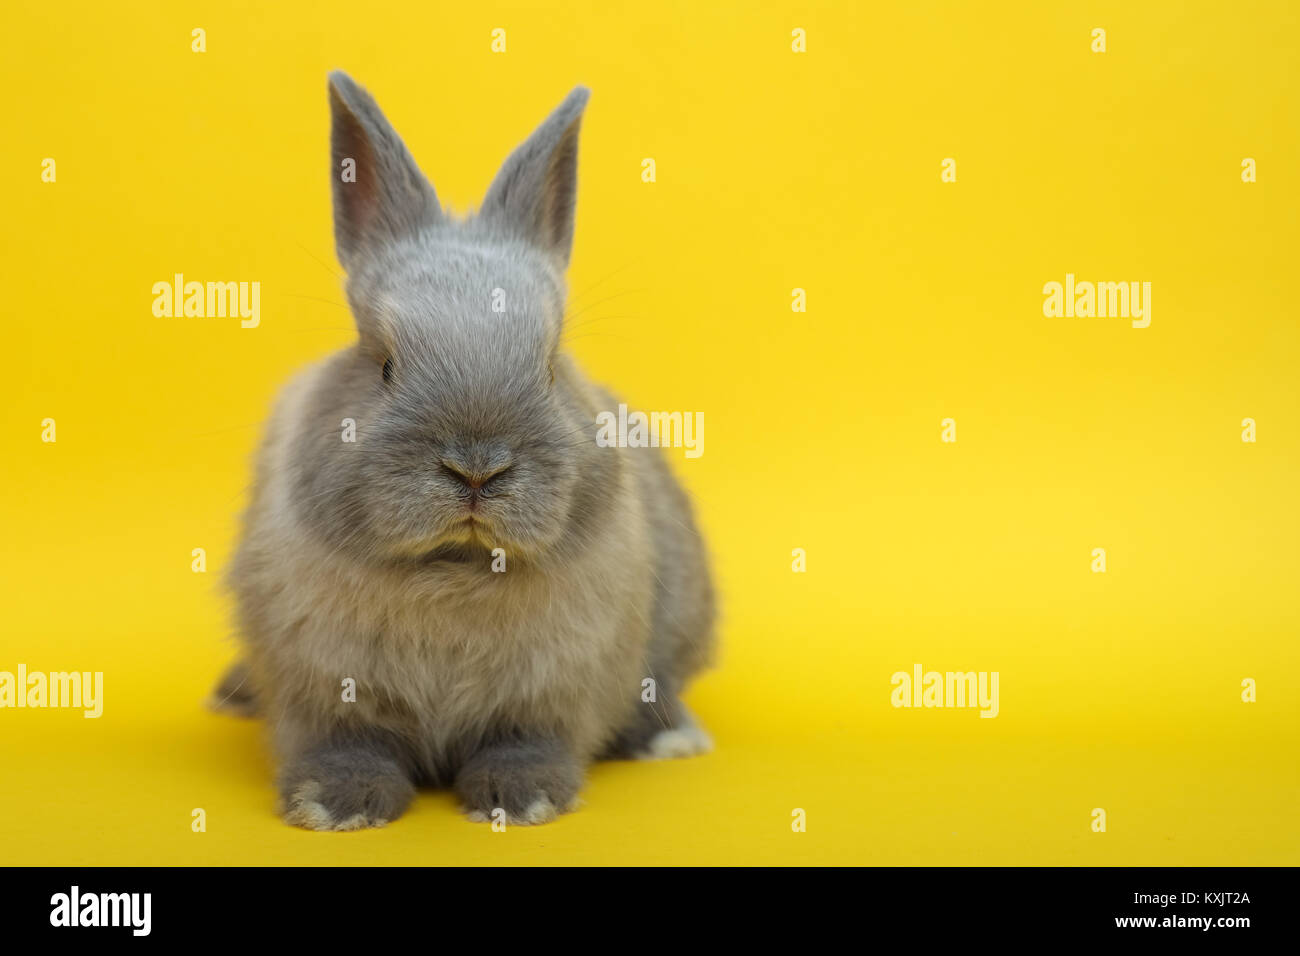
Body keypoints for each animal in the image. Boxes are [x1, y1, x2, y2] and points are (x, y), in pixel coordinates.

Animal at [213, 72, 716, 830]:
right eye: (384, 365)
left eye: (549, 365)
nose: (477, 469)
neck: (455, 570)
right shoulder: (322, 693)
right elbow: (345, 745)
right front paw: (338, 805)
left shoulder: (553, 692)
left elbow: (527, 741)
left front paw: (522, 797)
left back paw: (670, 737)